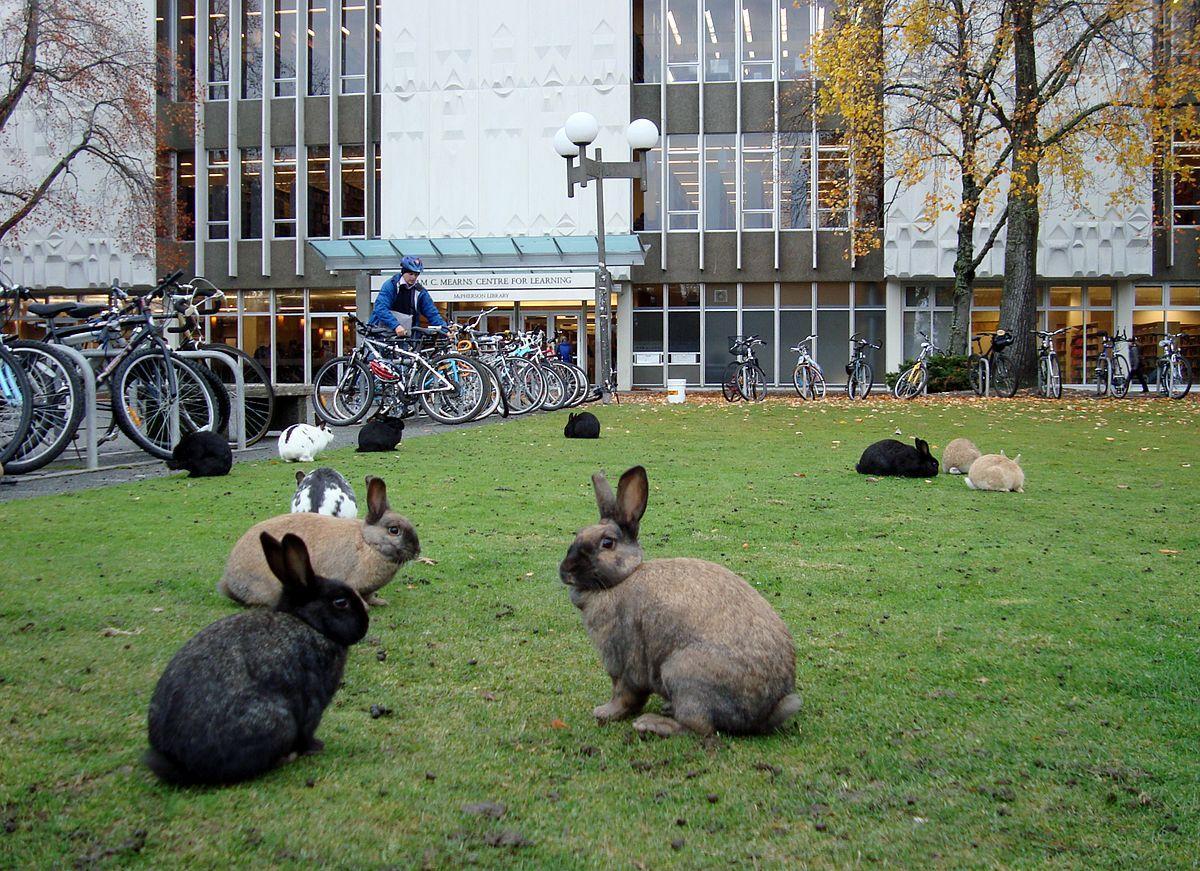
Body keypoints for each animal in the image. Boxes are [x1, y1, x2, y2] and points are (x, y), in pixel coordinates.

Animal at [146, 532, 368, 785]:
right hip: (277, 721)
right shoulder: (313, 699)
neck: (308, 623)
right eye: (341, 603)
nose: (365, 625)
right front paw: (316, 746)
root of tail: (180, 762)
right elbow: (308, 728)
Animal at [220, 476, 417, 608]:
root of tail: (229, 581)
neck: (367, 543)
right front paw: (366, 607)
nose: (417, 550)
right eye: (394, 530)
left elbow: (370, 596)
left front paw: (380, 602)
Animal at [558, 466, 801, 738]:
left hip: (683, 675)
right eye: (578, 534)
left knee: (698, 727)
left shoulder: (622, 662)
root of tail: (767, 712)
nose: (566, 571)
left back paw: (652, 723)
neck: (624, 577)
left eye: (607, 543)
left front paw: (604, 712)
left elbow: (624, 695)